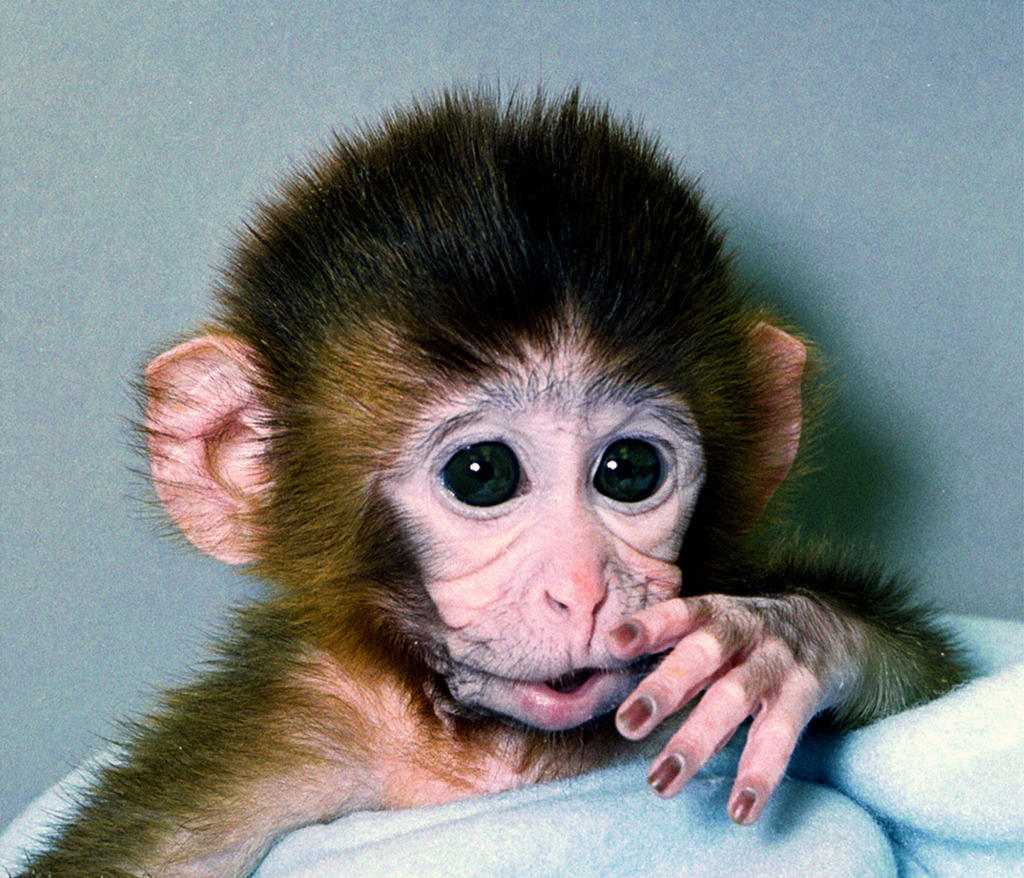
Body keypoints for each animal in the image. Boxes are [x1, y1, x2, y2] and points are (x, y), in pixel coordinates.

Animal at [11, 89, 966, 878]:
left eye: (630, 470)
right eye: (482, 475)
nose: (581, 588)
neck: (494, 748)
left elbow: (944, 682)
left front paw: (777, 640)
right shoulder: (275, 737)